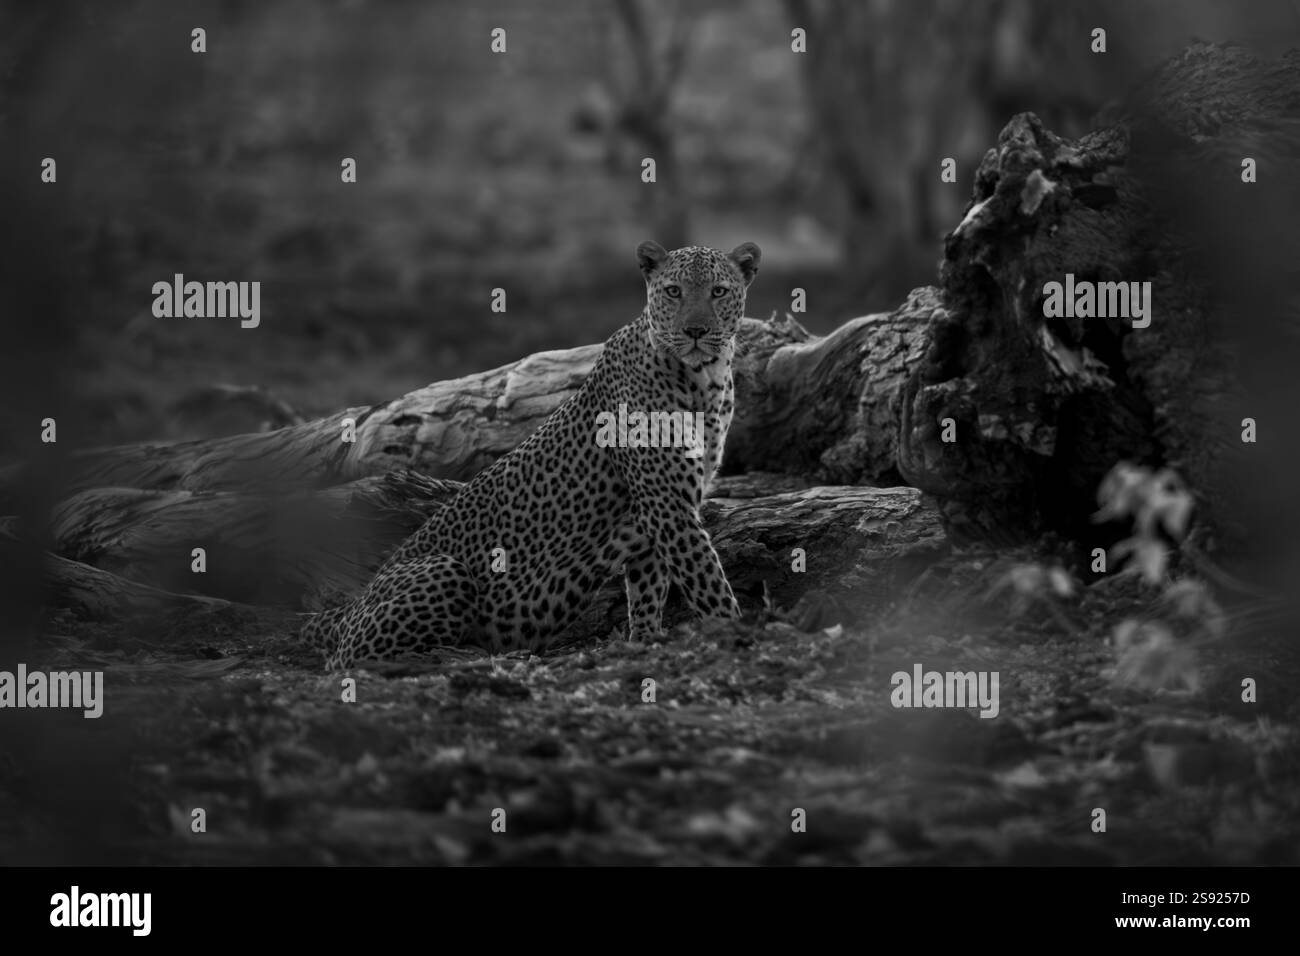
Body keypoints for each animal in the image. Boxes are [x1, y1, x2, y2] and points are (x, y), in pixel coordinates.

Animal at [302, 240, 761, 669]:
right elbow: (708, 580)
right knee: (347, 659)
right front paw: (736, 628)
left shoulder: (661, 515)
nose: (696, 330)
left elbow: (649, 591)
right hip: (444, 570)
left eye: (719, 291)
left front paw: (646, 641)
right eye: (673, 291)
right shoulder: (668, 505)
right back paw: (457, 656)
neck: (706, 380)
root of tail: (350, 606)